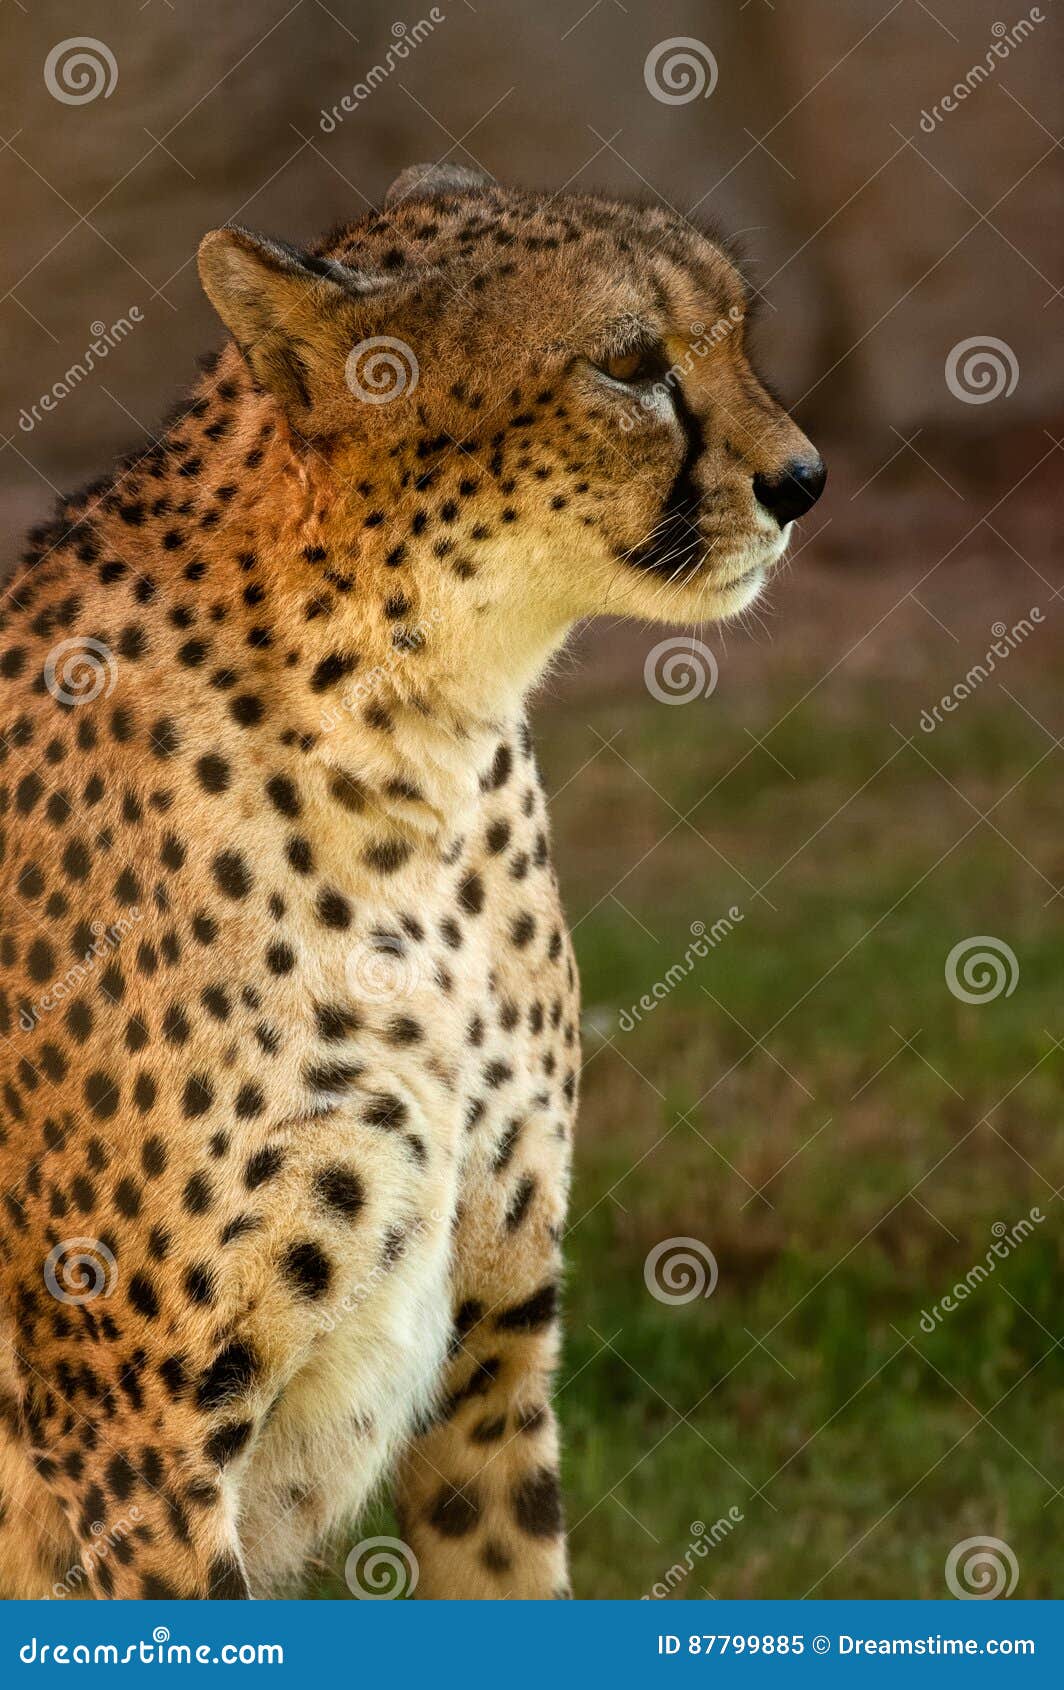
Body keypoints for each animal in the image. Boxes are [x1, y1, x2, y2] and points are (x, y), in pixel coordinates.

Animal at [0, 162, 824, 1600]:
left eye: (733, 335)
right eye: (630, 364)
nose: (804, 480)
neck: (415, 737)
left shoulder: (494, 1342)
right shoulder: (140, 1434)